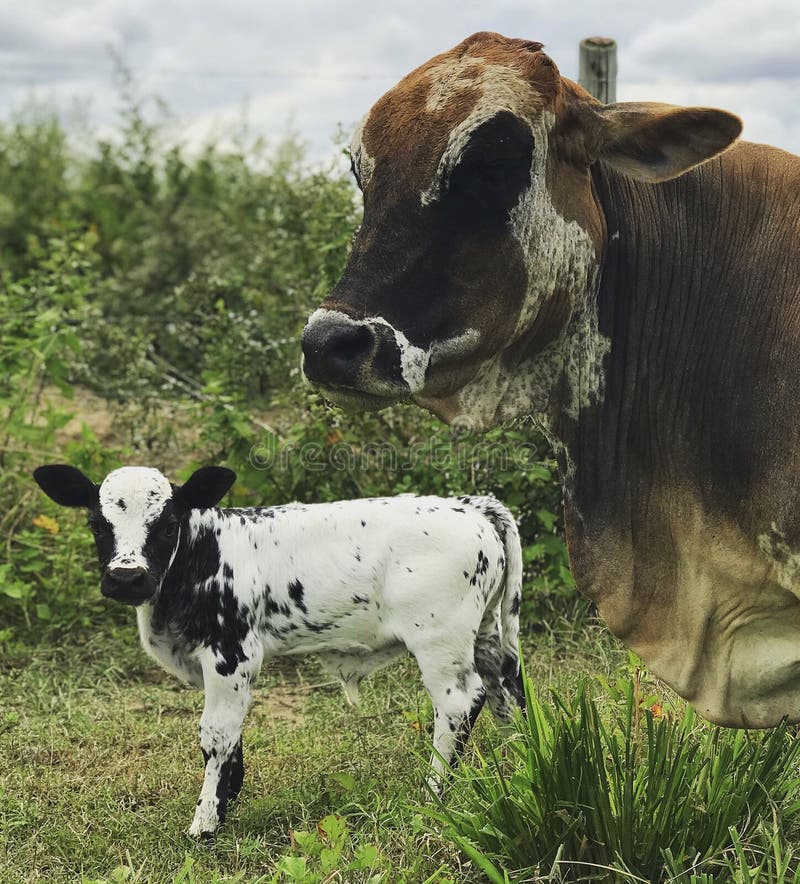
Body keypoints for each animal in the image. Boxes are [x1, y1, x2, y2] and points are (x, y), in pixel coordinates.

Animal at [32, 463, 524, 837]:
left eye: (168, 524)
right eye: (96, 524)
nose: (127, 578)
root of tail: (470, 505)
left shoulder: (231, 653)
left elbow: (216, 733)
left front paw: (206, 823)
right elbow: (231, 734)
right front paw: (228, 798)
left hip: (440, 641)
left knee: (459, 703)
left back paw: (435, 792)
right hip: (487, 634)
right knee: (507, 688)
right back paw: (522, 760)